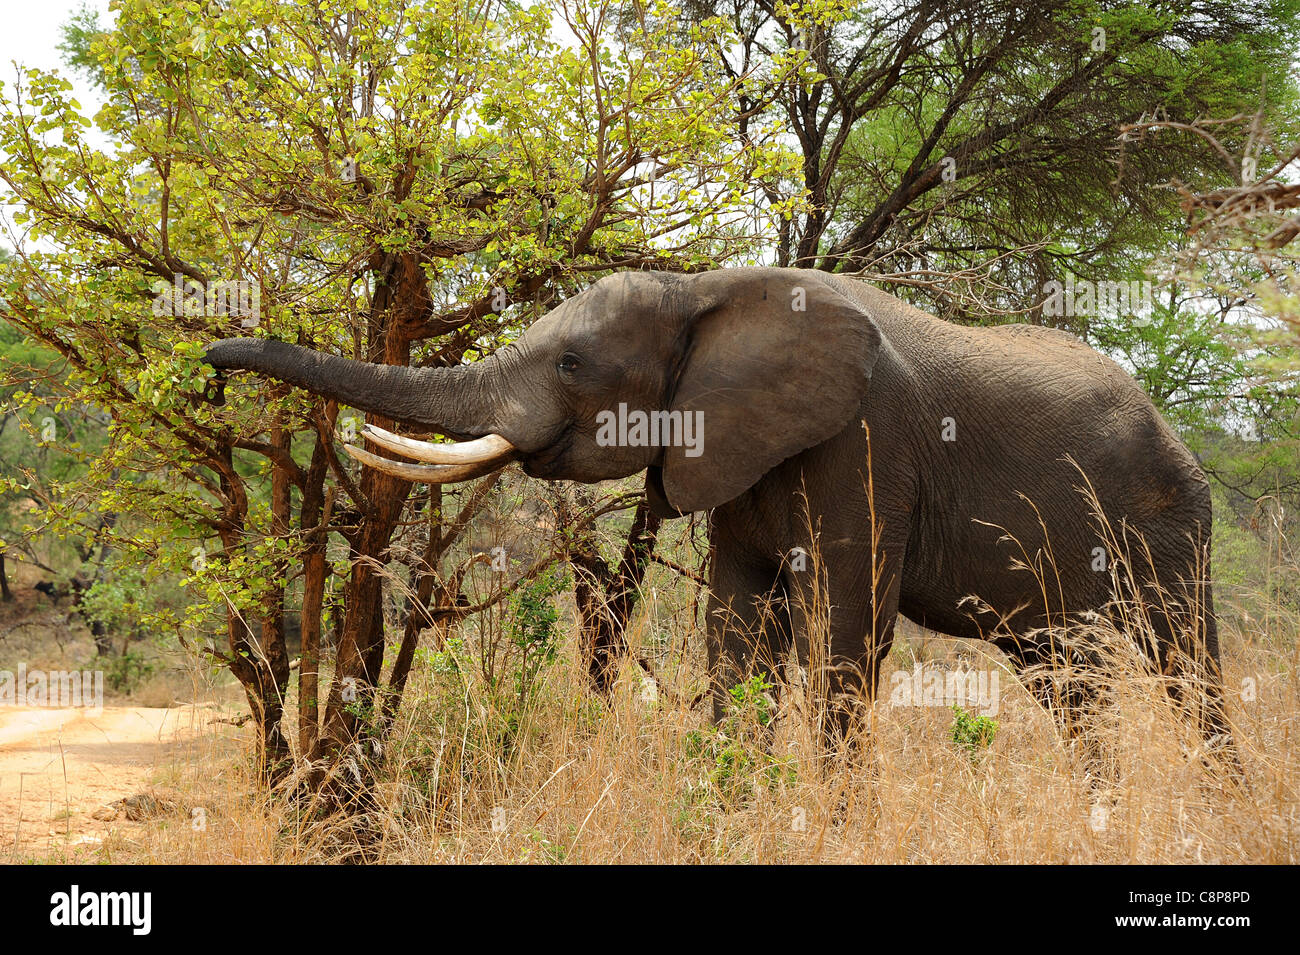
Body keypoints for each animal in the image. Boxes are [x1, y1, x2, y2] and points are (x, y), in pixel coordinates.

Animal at [204, 266, 1238, 771]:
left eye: (572, 363)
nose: (211, 367)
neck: (704, 287)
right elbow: (735, 628)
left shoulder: (865, 444)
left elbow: (845, 631)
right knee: (1066, 676)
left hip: (1171, 518)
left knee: (1186, 664)